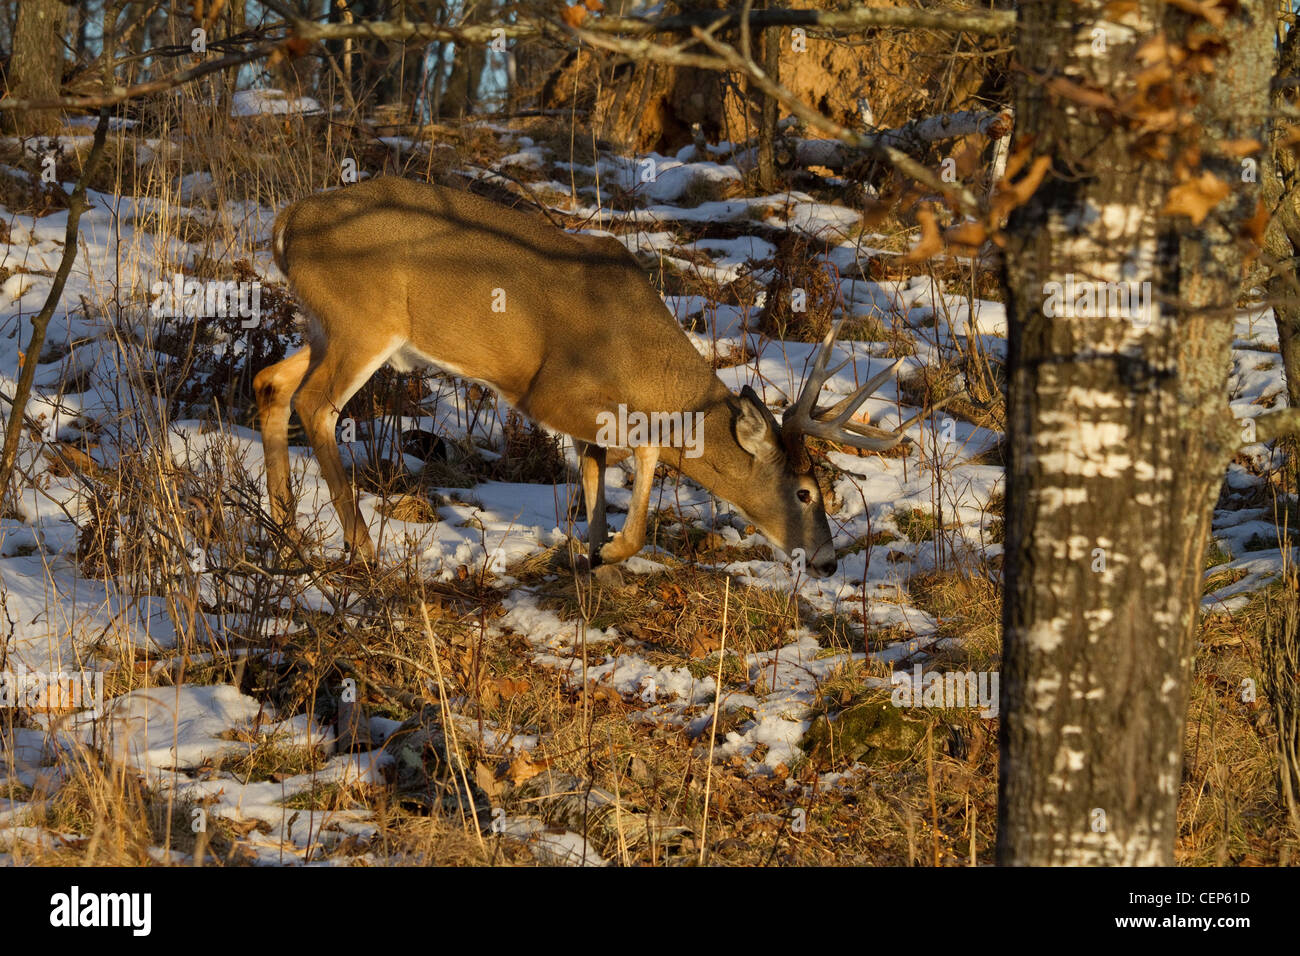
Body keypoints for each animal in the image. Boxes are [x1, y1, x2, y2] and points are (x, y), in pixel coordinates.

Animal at [254, 176, 931, 578]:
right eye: (806, 492)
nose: (828, 560)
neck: (637, 355)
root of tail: (286, 220)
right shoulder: (545, 390)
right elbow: (647, 446)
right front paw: (615, 547)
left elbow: (594, 466)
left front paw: (593, 550)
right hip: (361, 321)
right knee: (316, 404)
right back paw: (362, 549)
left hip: (323, 323)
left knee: (271, 383)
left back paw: (286, 535)